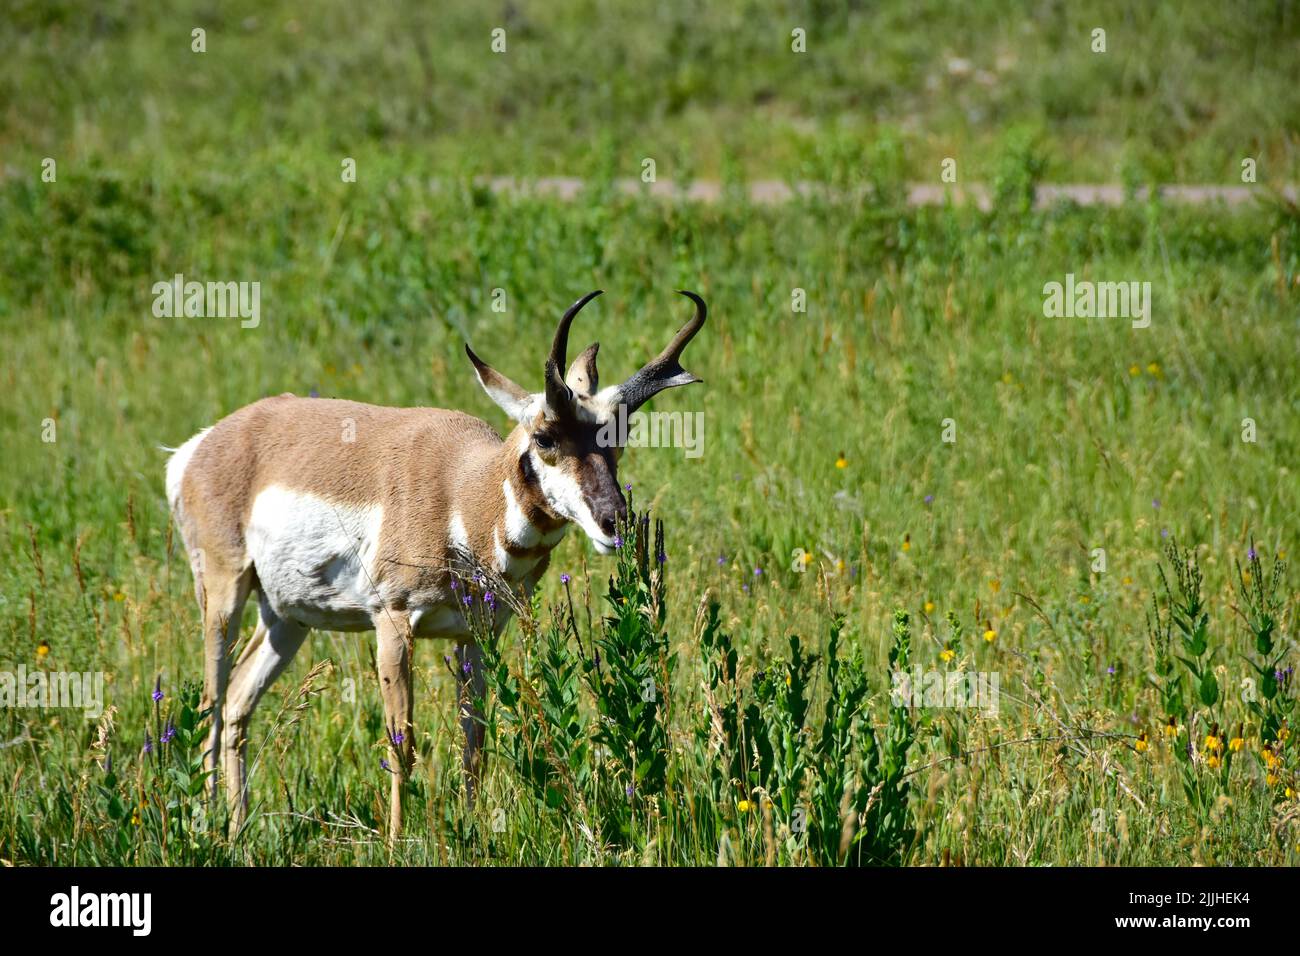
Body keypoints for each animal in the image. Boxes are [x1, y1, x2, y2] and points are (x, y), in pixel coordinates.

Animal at [164, 290, 706, 837]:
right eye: (545, 438)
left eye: (619, 434)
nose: (615, 521)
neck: (464, 489)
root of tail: (198, 447)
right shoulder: (393, 623)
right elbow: (401, 744)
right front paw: (397, 841)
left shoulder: (478, 636)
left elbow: (475, 742)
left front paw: (470, 831)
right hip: (223, 594)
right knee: (211, 702)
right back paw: (207, 823)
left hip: (287, 617)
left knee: (237, 703)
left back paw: (238, 828)